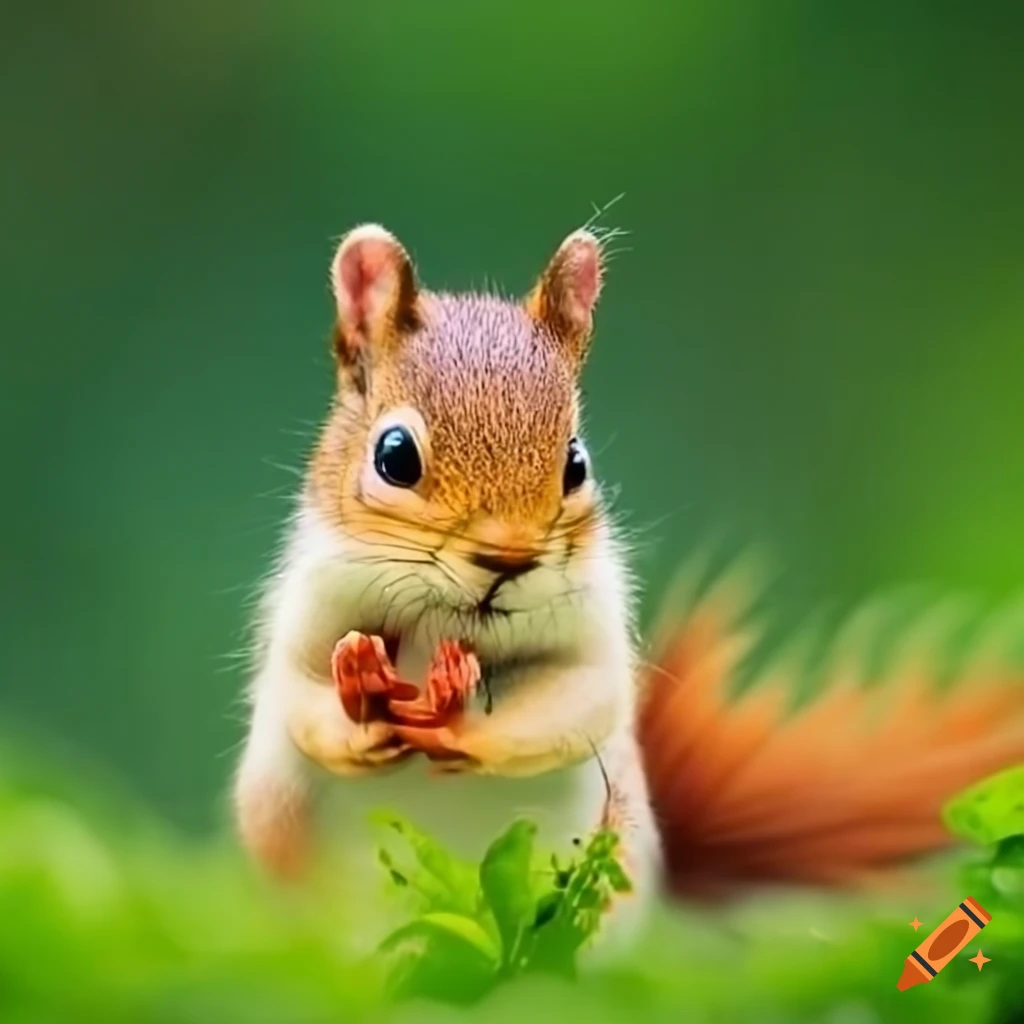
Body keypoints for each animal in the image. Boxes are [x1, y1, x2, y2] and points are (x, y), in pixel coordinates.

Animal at [232, 222, 1024, 945]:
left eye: (576, 462)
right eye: (394, 455)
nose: (508, 560)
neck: (447, 623)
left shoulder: (595, 626)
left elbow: (582, 695)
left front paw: (457, 724)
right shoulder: (310, 598)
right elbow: (299, 688)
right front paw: (361, 696)